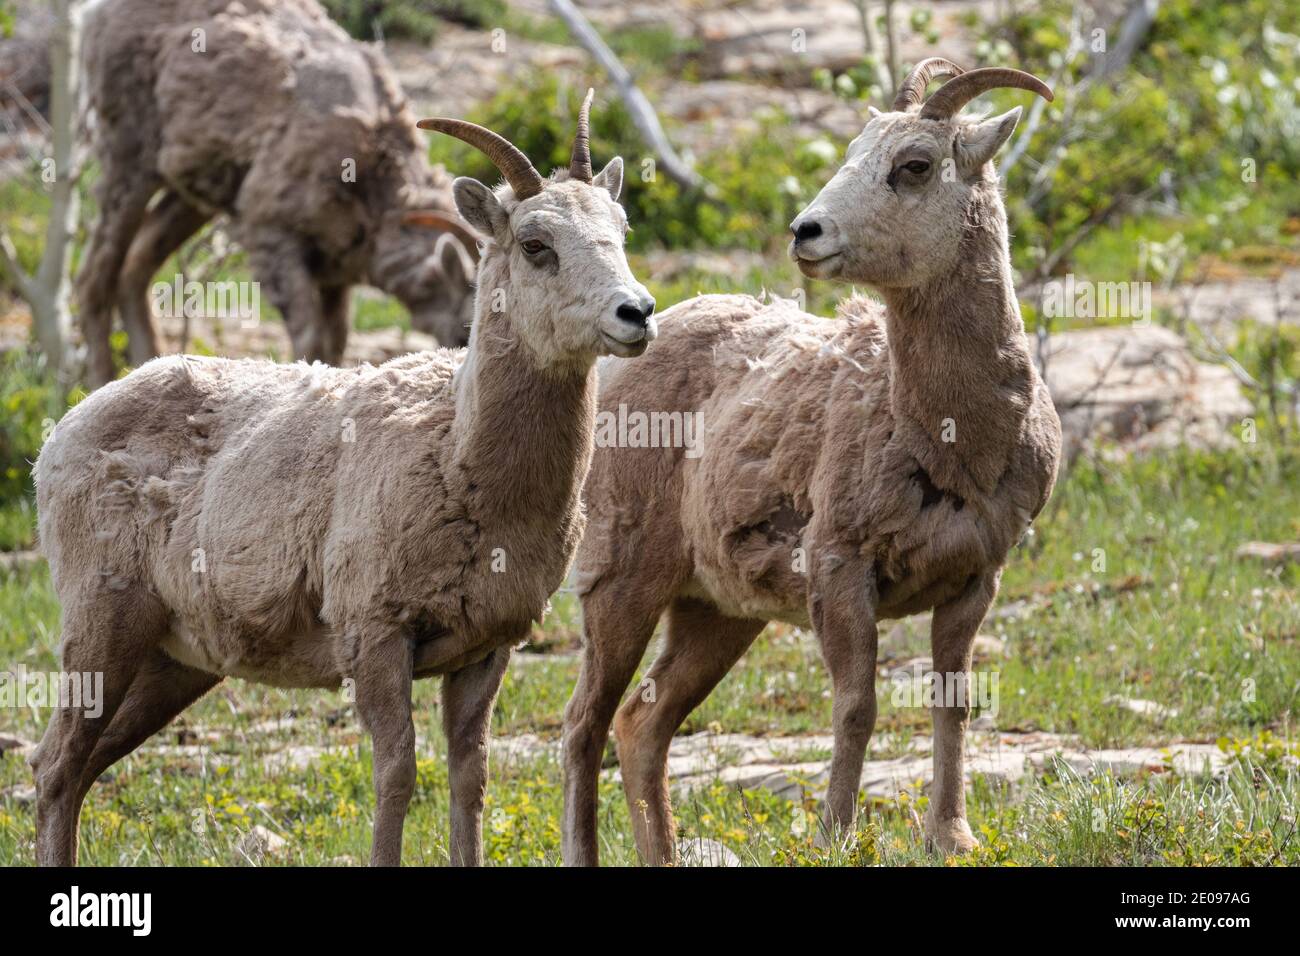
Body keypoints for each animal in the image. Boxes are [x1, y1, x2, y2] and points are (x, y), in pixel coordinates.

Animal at [31, 93, 657, 866]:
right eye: (536, 245)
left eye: (621, 230)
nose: (637, 313)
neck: (459, 459)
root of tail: (61, 435)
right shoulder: (375, 633)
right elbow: (397, 774)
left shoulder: (487, 648)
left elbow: (469, 779)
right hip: (100, 624)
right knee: (57, 765)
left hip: (173, 661)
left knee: (81, 766)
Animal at [77, 0, 480, 387]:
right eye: (464, 334)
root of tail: (97, 14)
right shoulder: (273, 236)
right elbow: (310, 341)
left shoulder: (335, 274)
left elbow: (336, 345)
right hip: (130, 164)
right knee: (94, 279)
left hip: (190, 197)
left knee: (135, 268)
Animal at [561, 61, 1062, 865]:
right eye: (851, 151)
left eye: (914, 165)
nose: (806, 231)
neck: (955, 443)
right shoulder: (840, 568)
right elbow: (857, 707)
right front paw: (835, 834)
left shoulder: (974, 580)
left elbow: (952, 704)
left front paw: (951, 835)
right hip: (621, 584)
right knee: (585, 725)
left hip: (716, 614)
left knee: (642, 723)